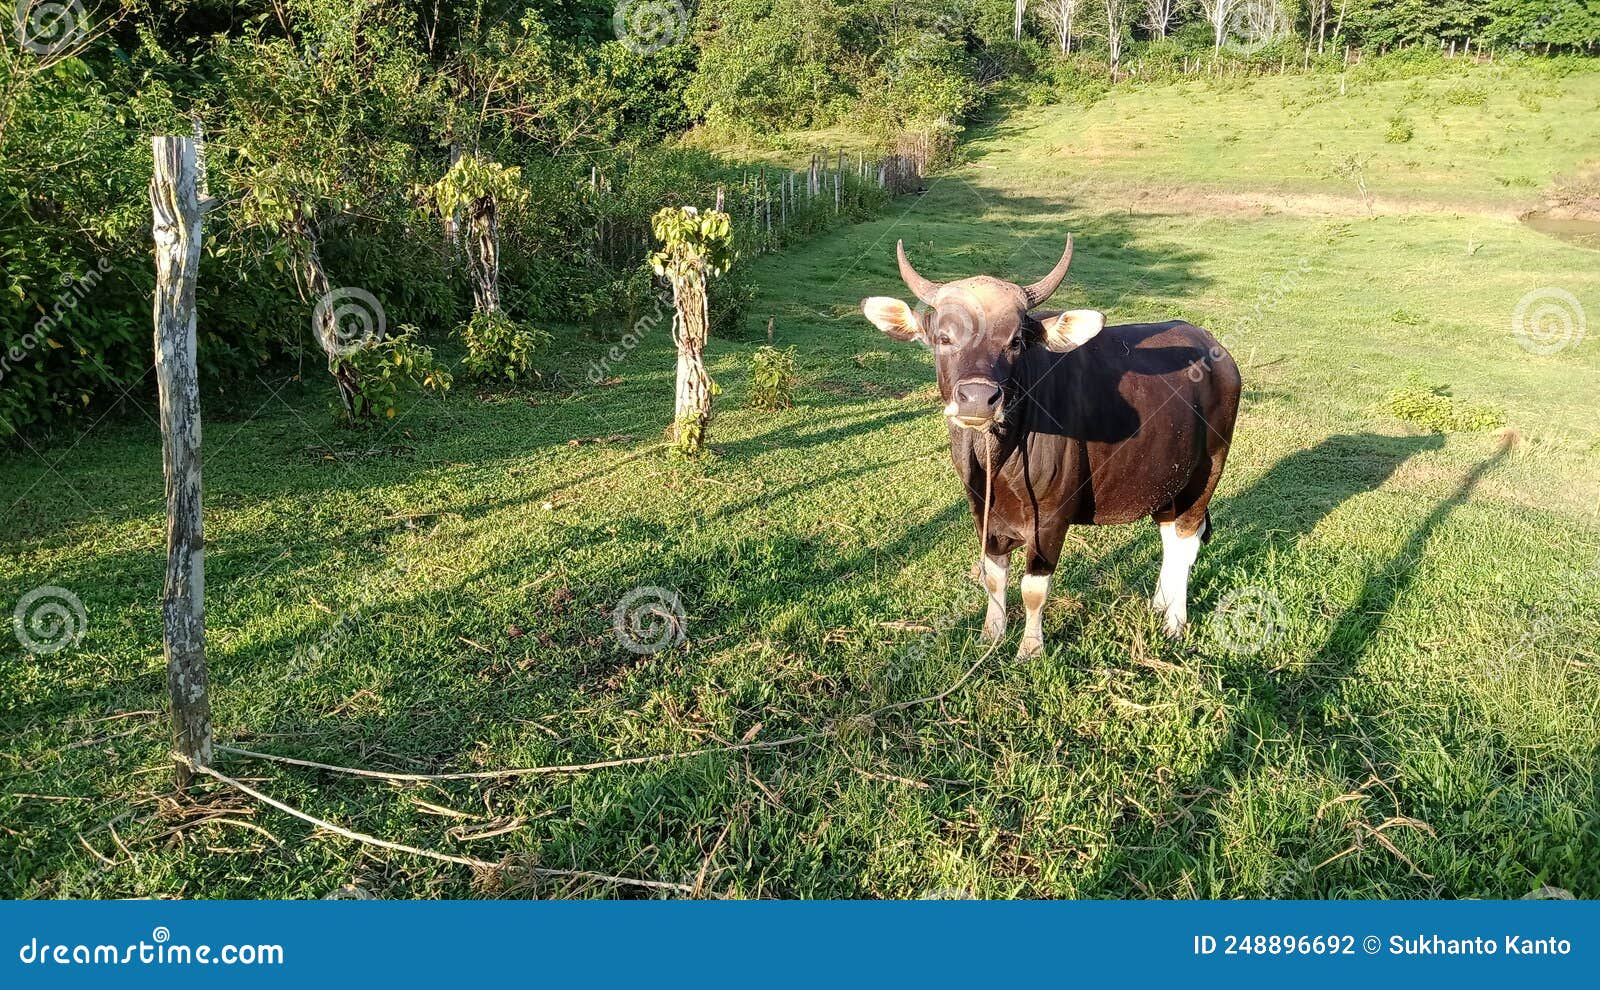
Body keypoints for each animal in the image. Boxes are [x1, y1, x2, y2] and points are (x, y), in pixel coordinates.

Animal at [860, 237, 1241, 658]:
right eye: (944, 337)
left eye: (1015, 341)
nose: (977, 399)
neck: (999, 459)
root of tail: (1216, 350)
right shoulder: (982, 512)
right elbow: (994, 578)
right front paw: (991, 635)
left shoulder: (1052, 518)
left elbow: (1033, 588)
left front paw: (1030, 649)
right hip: (1167, 481)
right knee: (1169, 535)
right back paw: (1160, 602)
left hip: (1207, 473)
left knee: (1186, 542)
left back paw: (1175, 621)